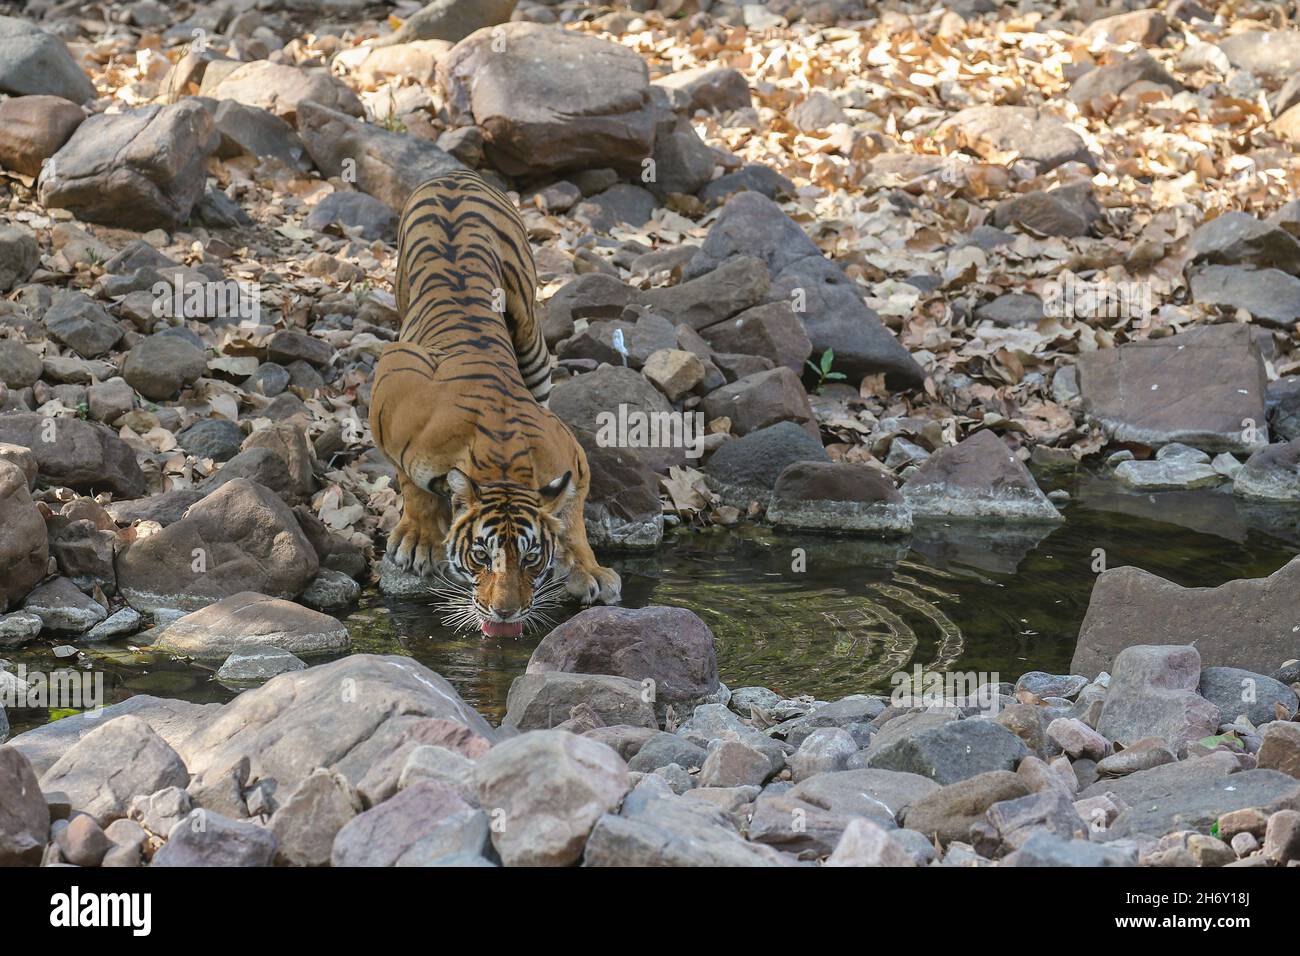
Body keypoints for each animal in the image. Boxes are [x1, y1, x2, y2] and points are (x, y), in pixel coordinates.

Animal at [369, 169, 622, 637]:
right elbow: (411, 481)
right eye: (481, 556)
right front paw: (419, 538)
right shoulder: (396, 377)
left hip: (531, 339)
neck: (502, 463)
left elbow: (571, 516)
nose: (505, 612)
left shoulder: (573, 459)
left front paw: (589, 570)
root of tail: (456, 174)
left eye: (531, 558)